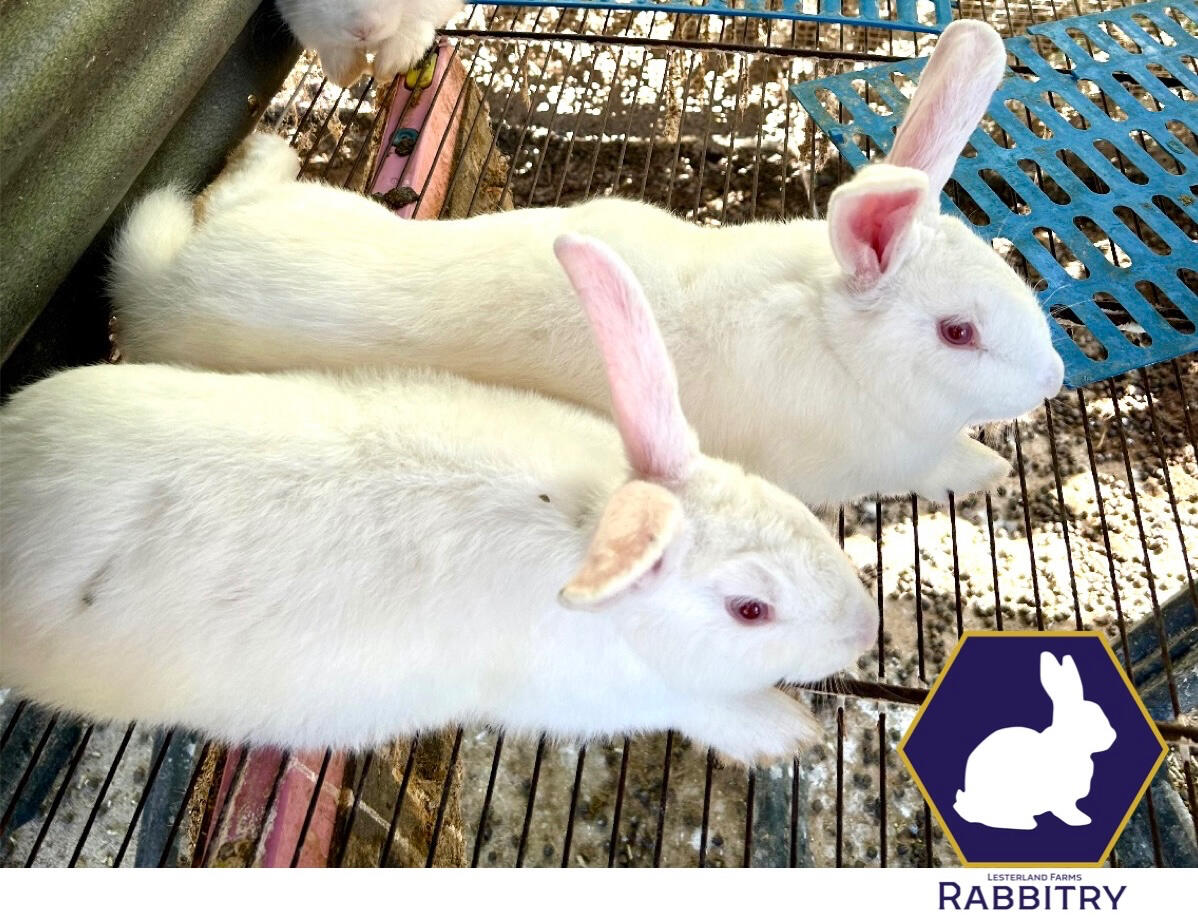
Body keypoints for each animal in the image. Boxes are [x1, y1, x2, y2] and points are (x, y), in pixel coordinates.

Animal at [1, 235, 876, 766]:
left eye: (787, 504)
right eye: (750, 610)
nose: (866, 629)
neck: (586, 524)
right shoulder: (620, 694)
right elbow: (712, 709)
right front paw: (787, 734)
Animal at [110, 19, 1064, 509]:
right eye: (958, 332)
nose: (1053, 378)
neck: (837, 344)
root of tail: (161, 287)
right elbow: (938, 468)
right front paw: (988, 470)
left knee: (231, 191)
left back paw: (263, 149)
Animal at [953, 653, 1117, 830]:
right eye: (1087, 720)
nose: (1112, 736)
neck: (1067, 744)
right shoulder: (1060, 797)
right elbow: (1065, 810)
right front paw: (1080, 821)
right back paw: (1026, 823)